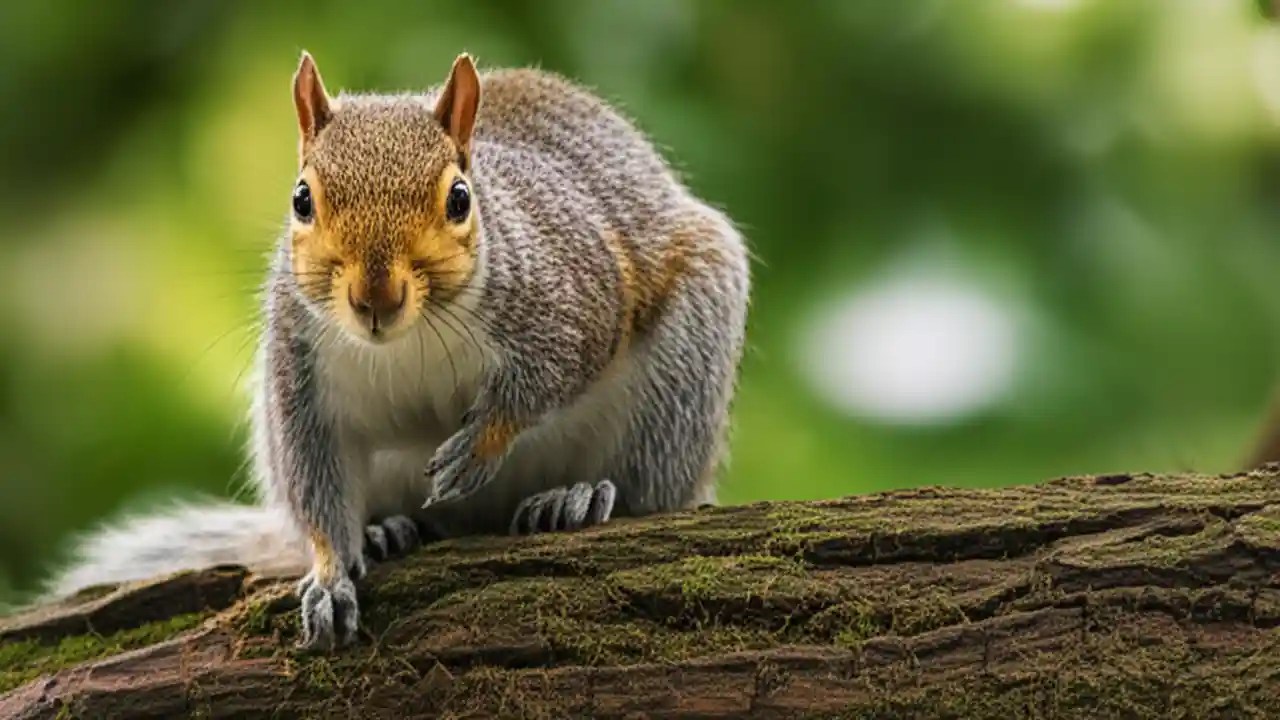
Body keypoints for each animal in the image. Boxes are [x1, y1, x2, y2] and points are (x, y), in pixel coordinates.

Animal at [44, 51, 751, 651]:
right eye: (301, 198)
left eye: (460, 198)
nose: (375, 296)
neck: (410, 340)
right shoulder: (300, 374)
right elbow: (315, 481)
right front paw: (331, 576)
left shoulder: (576, 294)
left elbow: (554, 371)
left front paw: (480, 443)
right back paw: (387, 530)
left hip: (680, 386)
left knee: (649, 486)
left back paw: (578, 498)